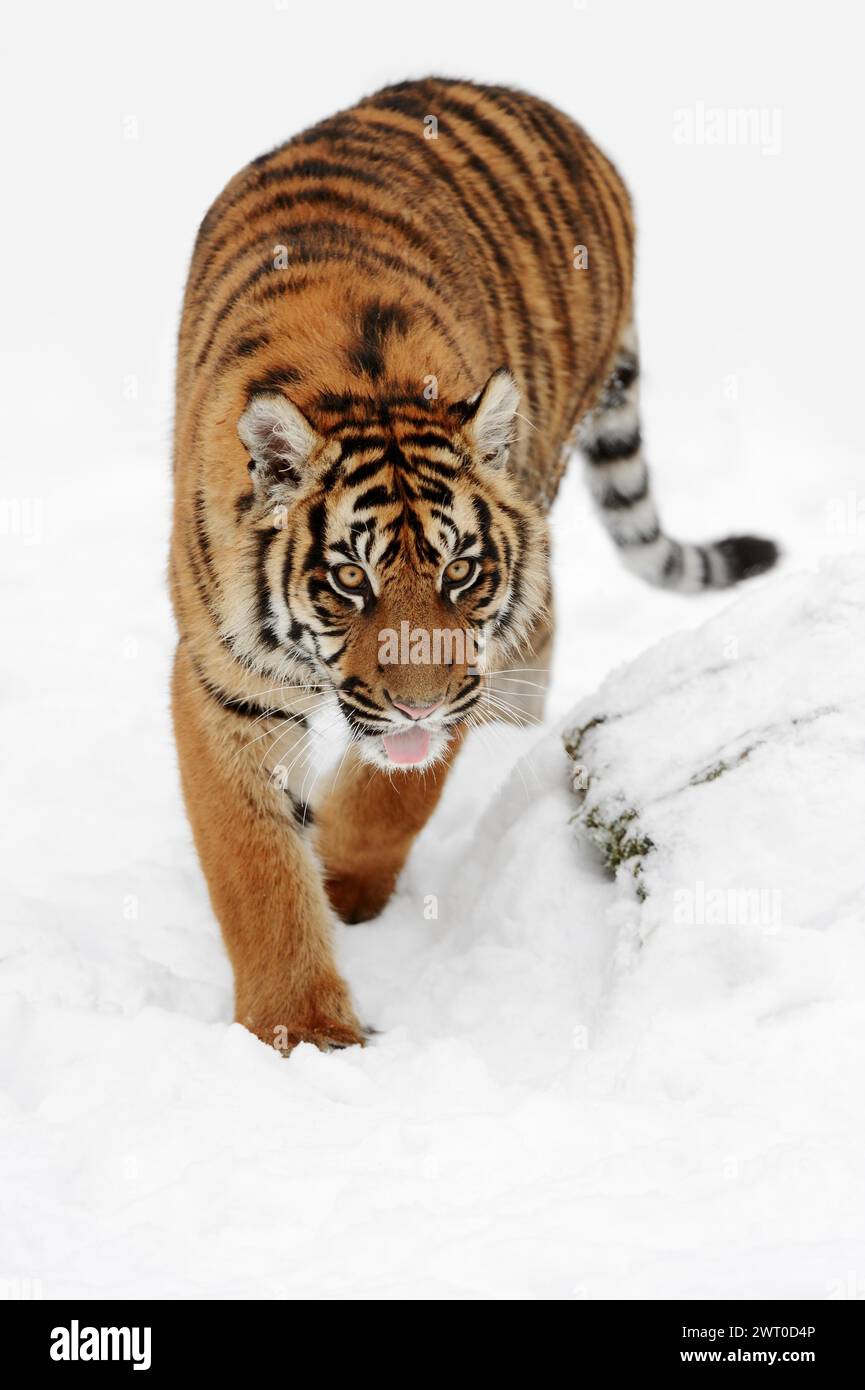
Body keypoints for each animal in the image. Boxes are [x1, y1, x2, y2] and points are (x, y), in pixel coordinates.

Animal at [171, 77, 778, 1052]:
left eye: (460, 572)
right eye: (350, 580)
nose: (417, 704)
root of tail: (524, 97)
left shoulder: (472, 657)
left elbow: (398, 797)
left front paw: (347, 883)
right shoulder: (224, 685)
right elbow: (254, 867)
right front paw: (304, 1031)